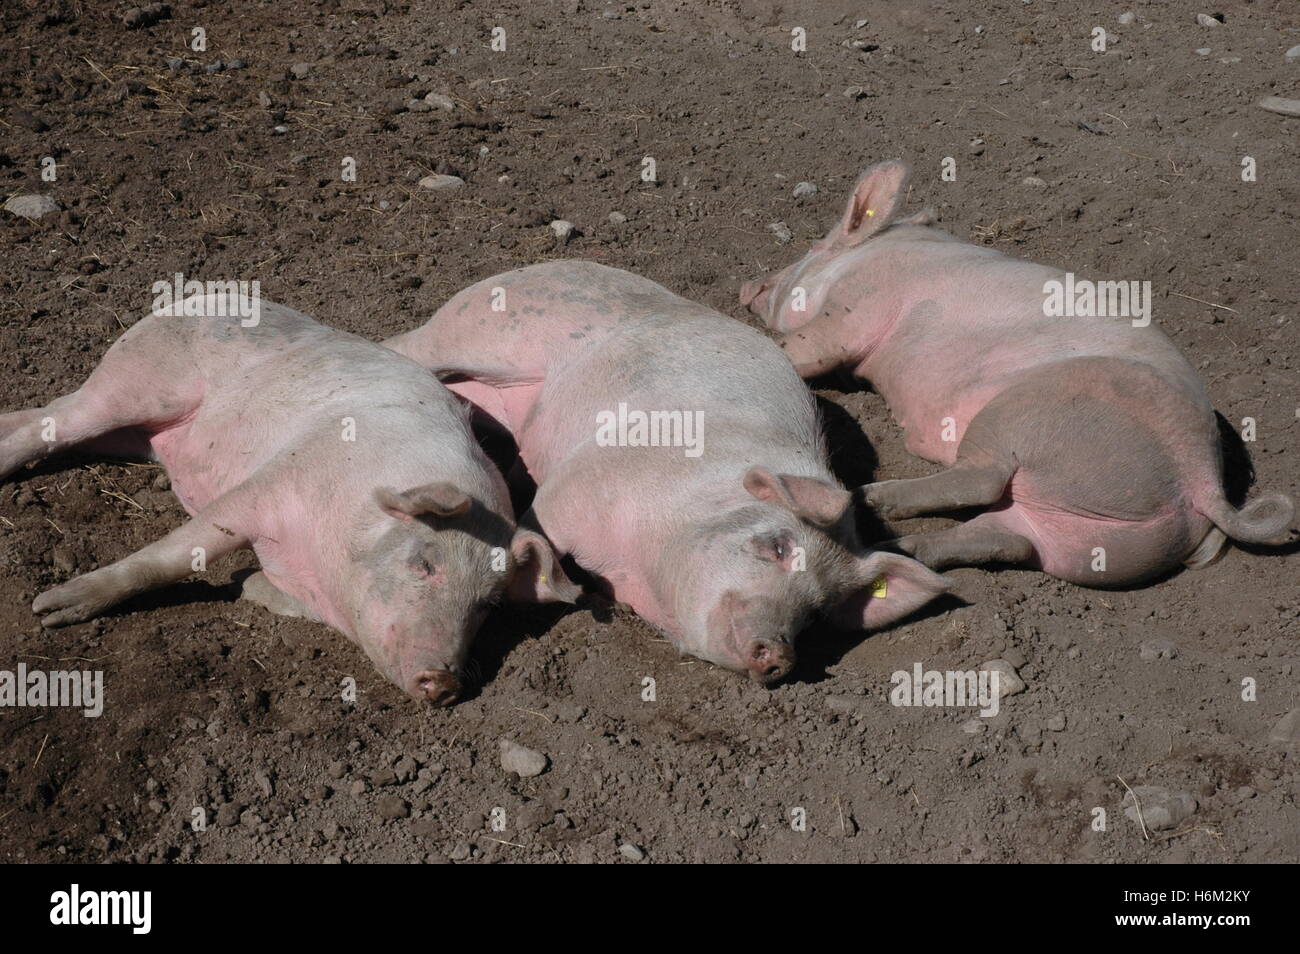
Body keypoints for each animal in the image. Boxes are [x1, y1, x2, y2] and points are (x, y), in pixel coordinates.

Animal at [0, 295, 575, 704]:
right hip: (139, 385)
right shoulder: (270, 483)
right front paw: (50, 611)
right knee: (56, 423)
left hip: (132, 431)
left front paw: (247, 584)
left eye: (489, 604)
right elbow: (174, 555)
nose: (444, 681)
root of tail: (193, 298)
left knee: (46, 416)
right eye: (424, 562)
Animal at [384, 261, 951, 684]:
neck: (635, 568)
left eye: (816, 611)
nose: (779, 654)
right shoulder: (578, 485)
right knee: (407, 345)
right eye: (777, 545)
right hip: (484, 328)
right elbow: (535, 528)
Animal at [741, 159, 1295, 586]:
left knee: (980, 481)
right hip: (1083, 535)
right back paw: (898, 547)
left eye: (814, 247)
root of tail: (1202, 481)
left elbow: (805, 348)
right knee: (1007, 541)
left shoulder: (856, 306)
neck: (868, 254)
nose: (749, 287)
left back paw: (866, 498)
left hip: (1027, 409)